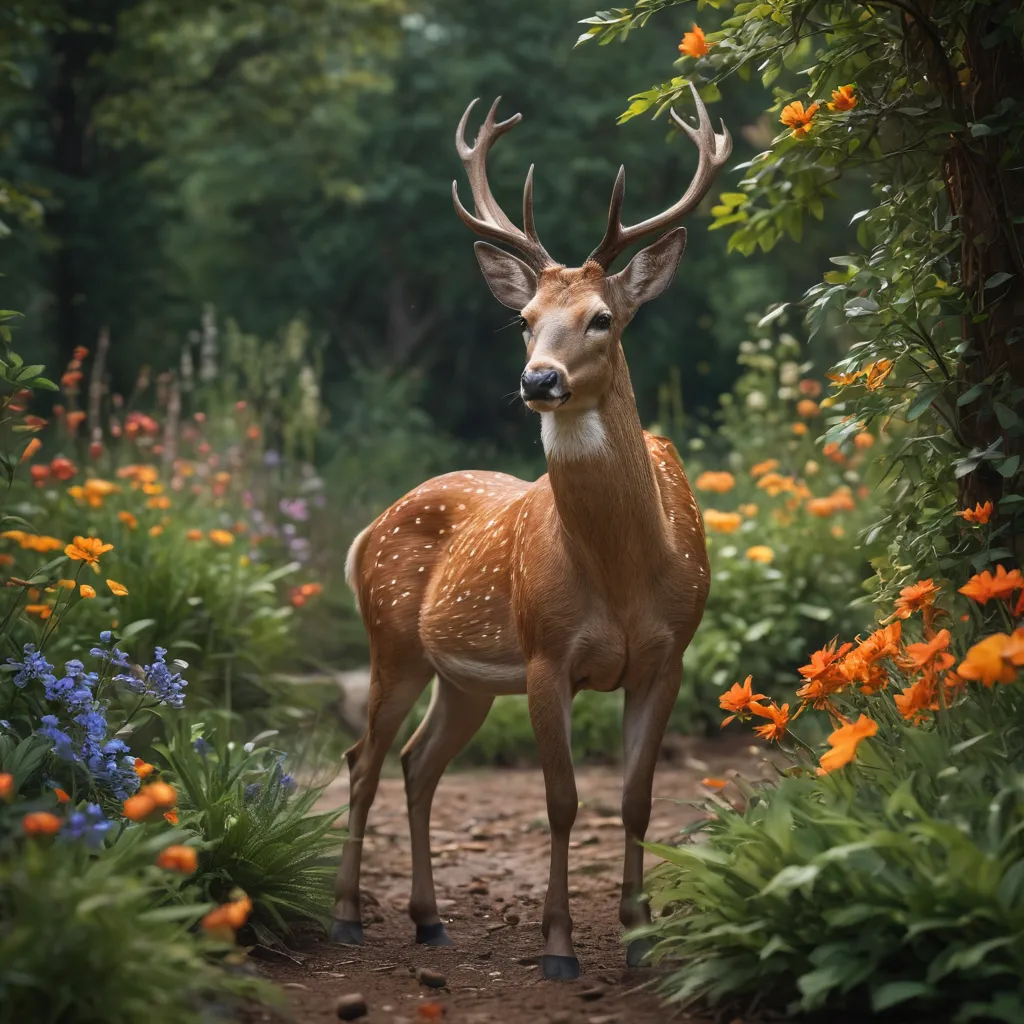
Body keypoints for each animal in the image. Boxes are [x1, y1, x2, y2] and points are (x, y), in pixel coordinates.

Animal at [331, 83, 730, 980]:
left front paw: (640, 937)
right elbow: (562, 800)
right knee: (363, 759)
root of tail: (366, 532)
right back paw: (346, 915)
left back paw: (430, 921)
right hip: (391, 640)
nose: (537, 380)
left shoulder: (670, 653)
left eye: (603, 318)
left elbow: (636, 799)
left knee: (416, 764)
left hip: (465, 678)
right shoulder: (548, 652)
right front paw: (559, 947)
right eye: (524, 318)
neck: (625, 574)